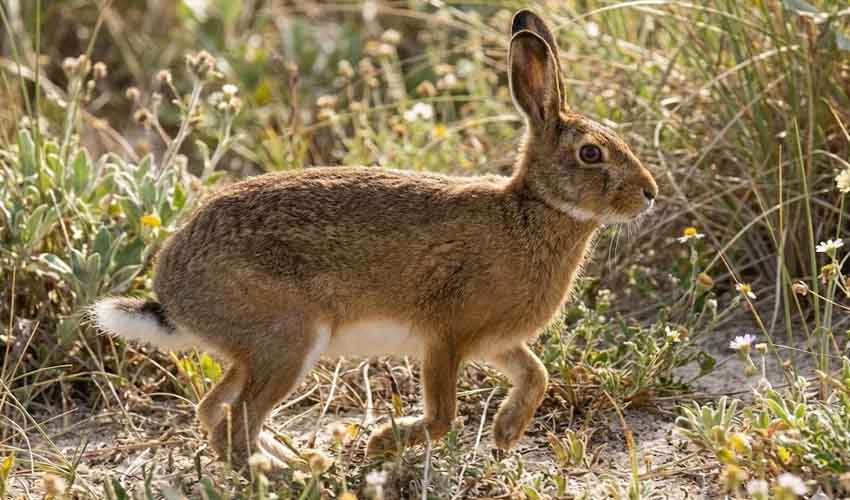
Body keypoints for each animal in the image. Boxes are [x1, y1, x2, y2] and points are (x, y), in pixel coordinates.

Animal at [91, 9, 657, 469]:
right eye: (591, 154)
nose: (649, 194)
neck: (532, 210)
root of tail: (173, 292)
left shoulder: (496, 341)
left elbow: (535, 375)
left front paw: (505, 433)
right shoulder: (446, 335)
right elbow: (443, 416)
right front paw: (382, 444)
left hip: (254, 349)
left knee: (214, 409)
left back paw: (298, 459)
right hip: (288, 337)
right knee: (235, 424)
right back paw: (288, 472)